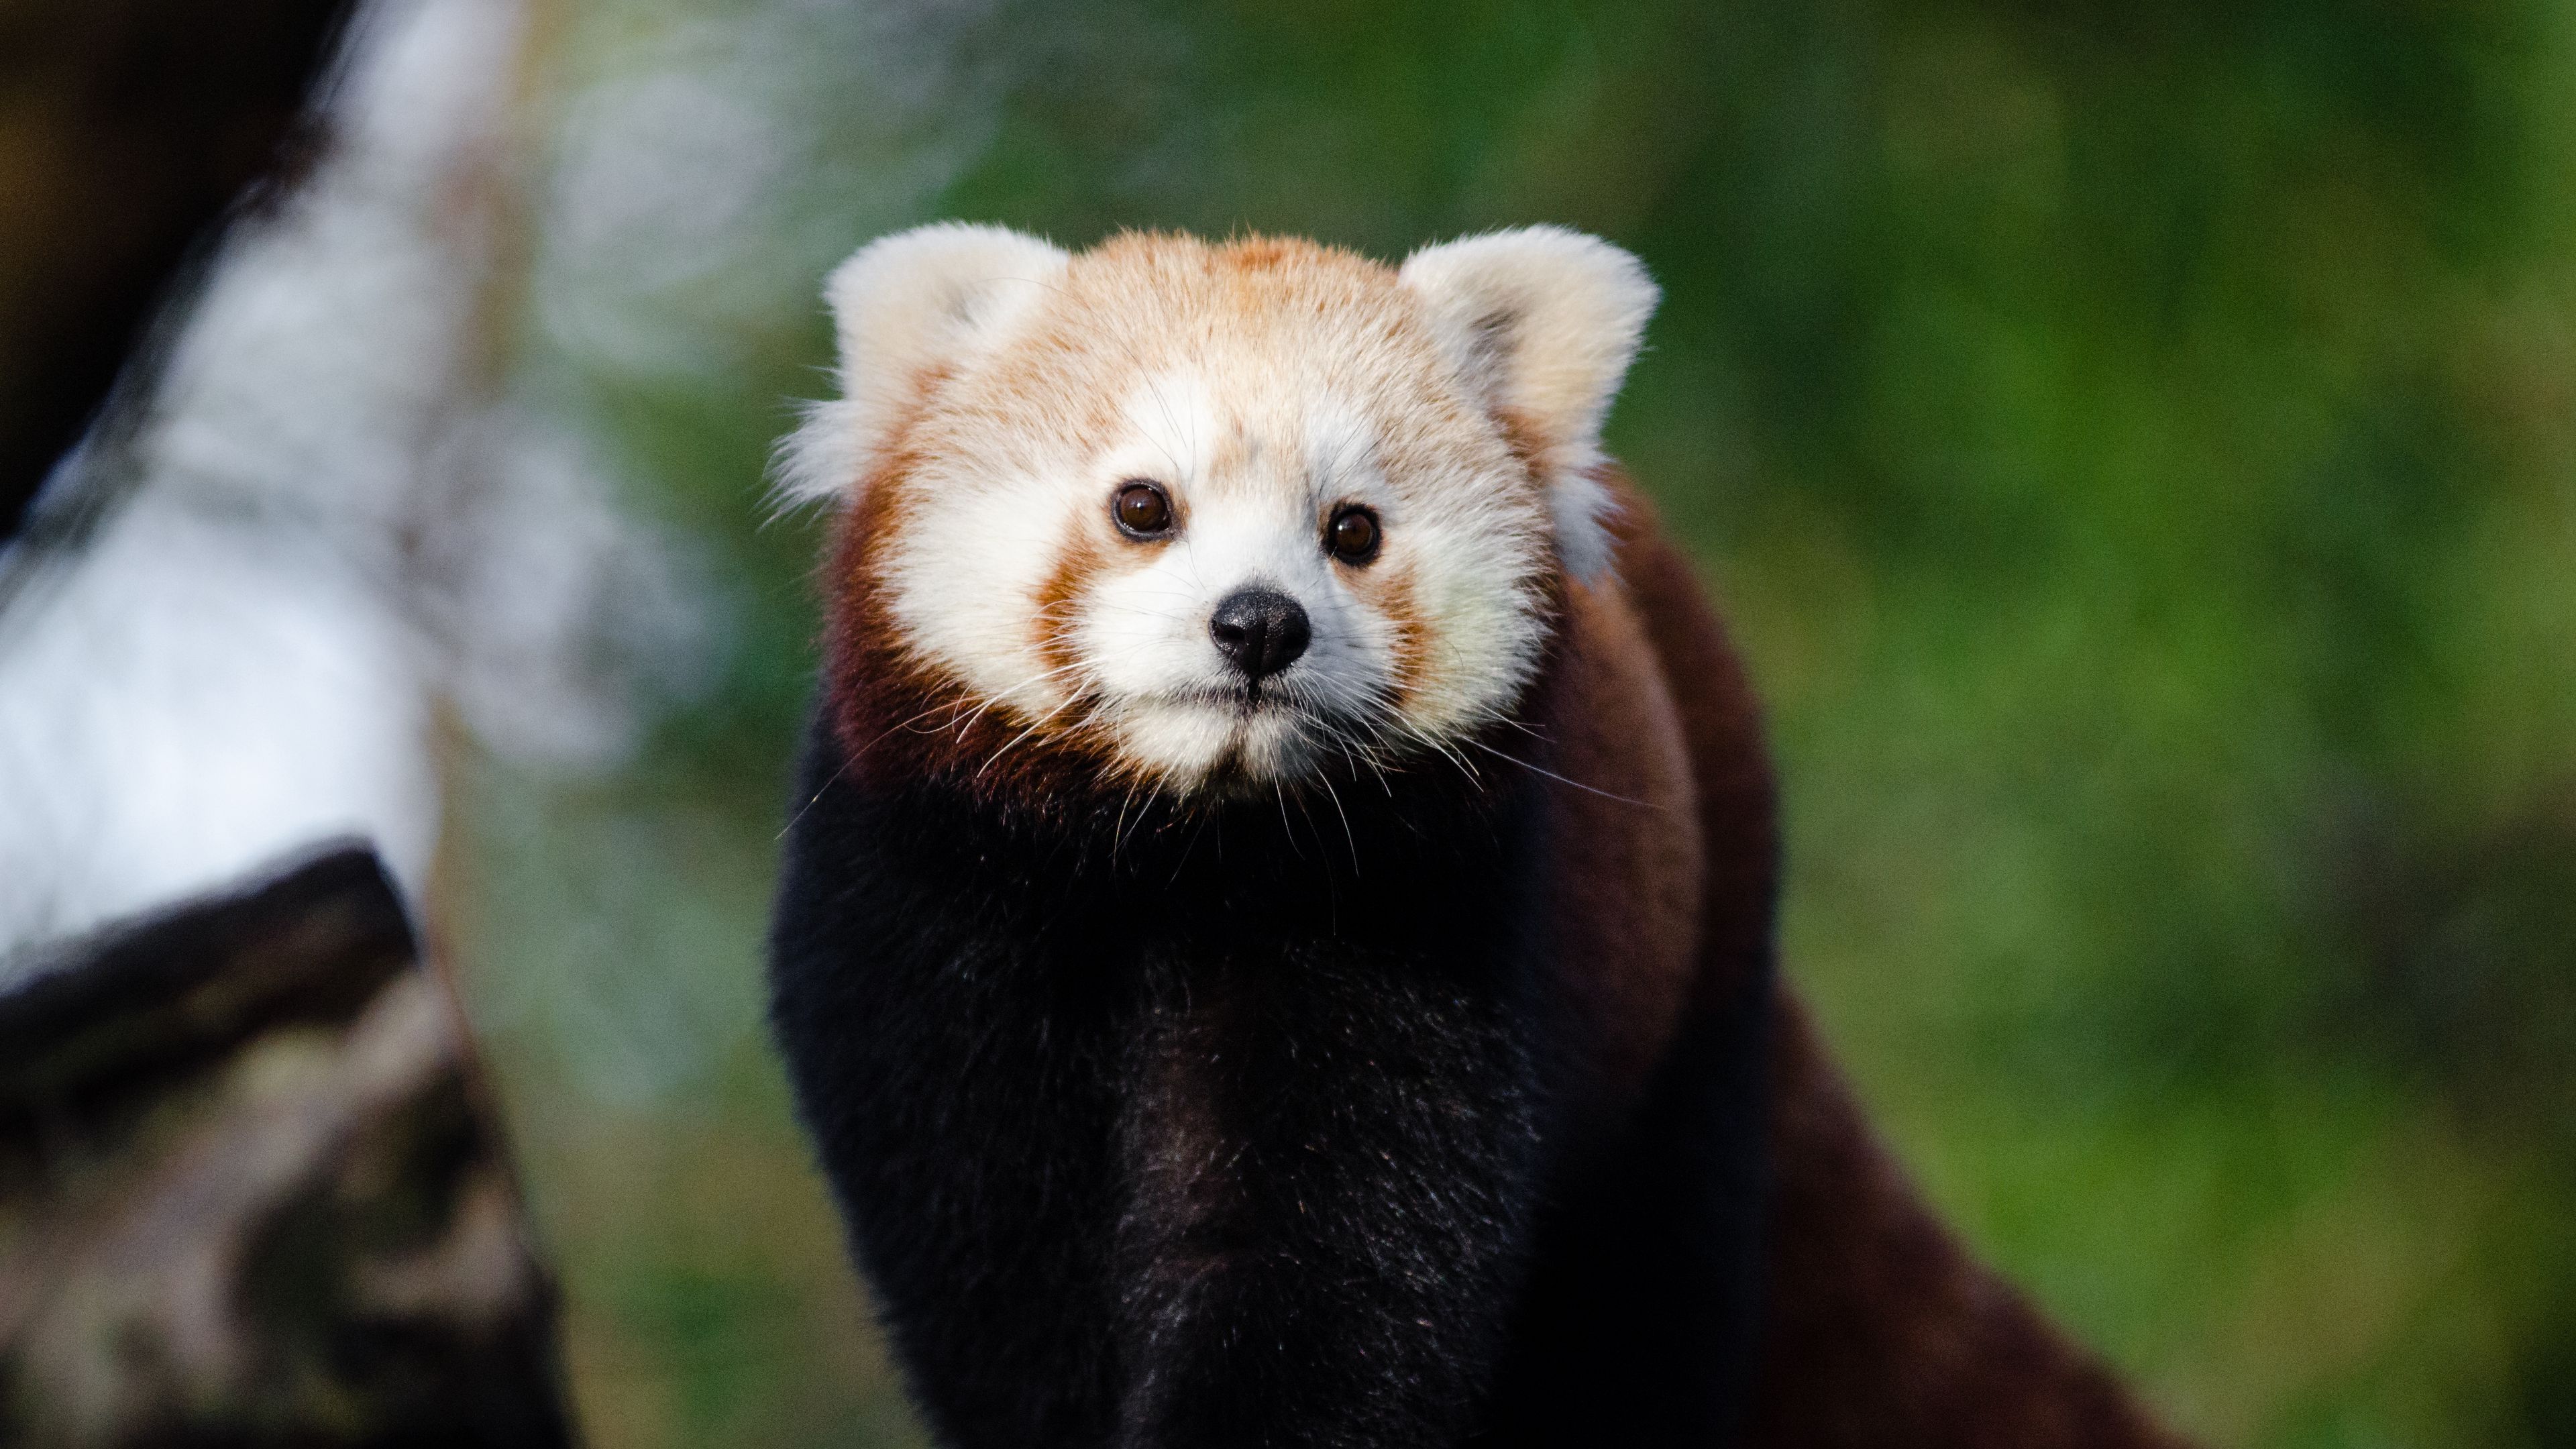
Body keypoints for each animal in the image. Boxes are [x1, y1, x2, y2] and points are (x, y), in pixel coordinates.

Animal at [766, 223, 2192, 1449]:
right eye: (1142, 507)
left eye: (1352, 531)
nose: (1260, 623)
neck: (1189, 859)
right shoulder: (931, 930)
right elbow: (1005, 1282)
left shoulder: (1423, 922)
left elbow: (1334, 1278)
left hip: (1680, 1027)